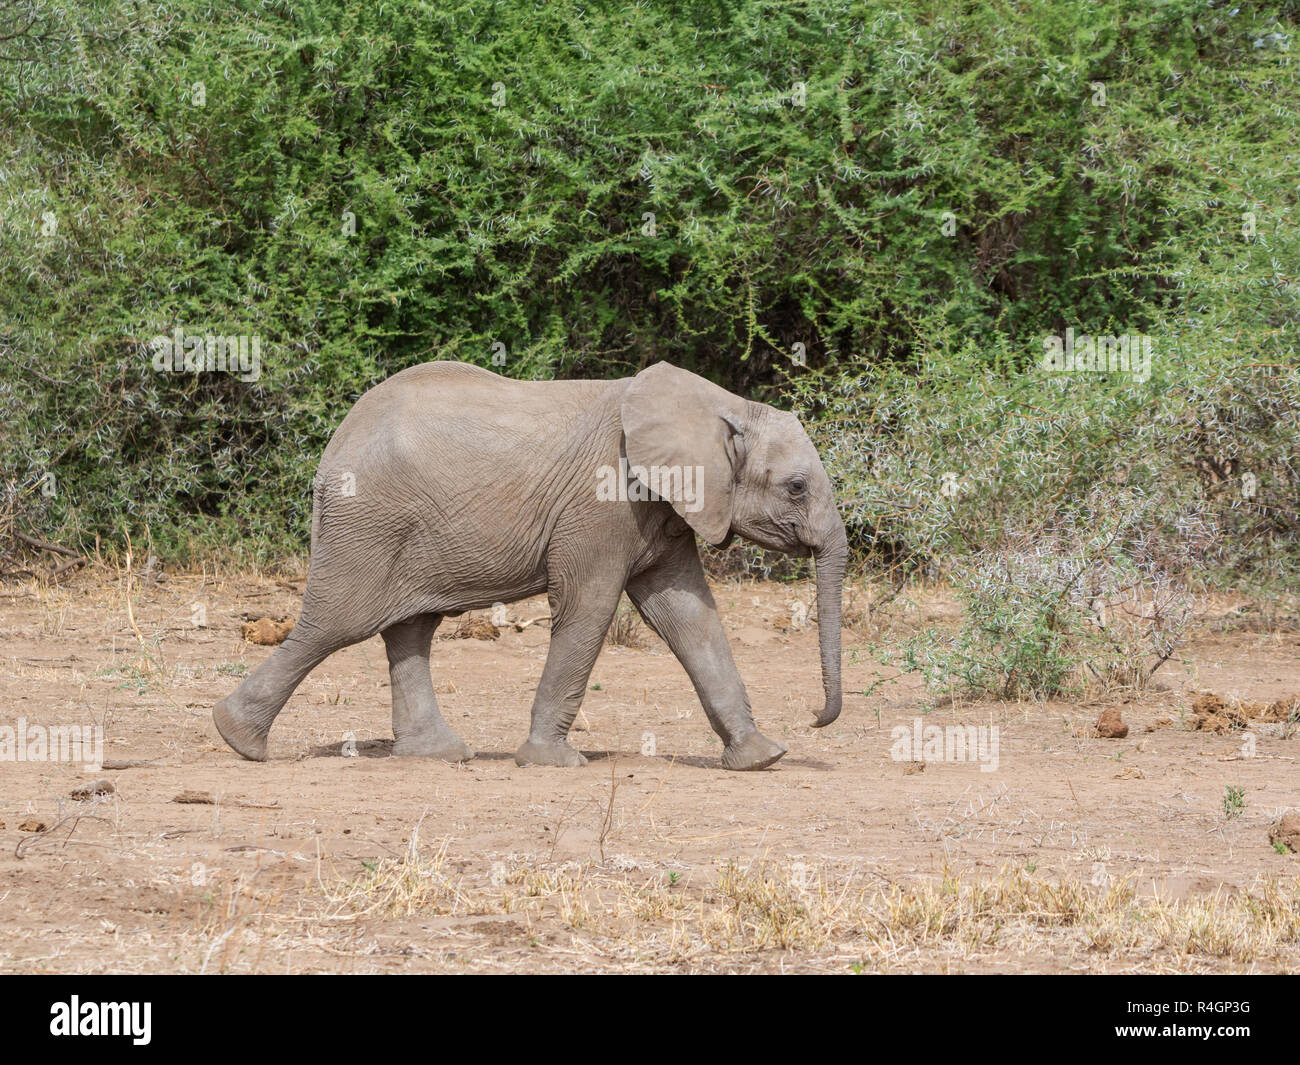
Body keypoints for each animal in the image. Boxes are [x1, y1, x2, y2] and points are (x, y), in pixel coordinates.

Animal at [213, 360, 847, 771]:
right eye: (795, 488)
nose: (816, 717)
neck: (723, 405)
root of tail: (336, 440)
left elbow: (688, 617)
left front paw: (763, 758)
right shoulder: (603, 501)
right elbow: (589, 609)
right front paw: (554, 762)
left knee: (409, 629)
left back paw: (438, 755)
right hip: (367, 520)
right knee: (336, 624)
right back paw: (238, 740)